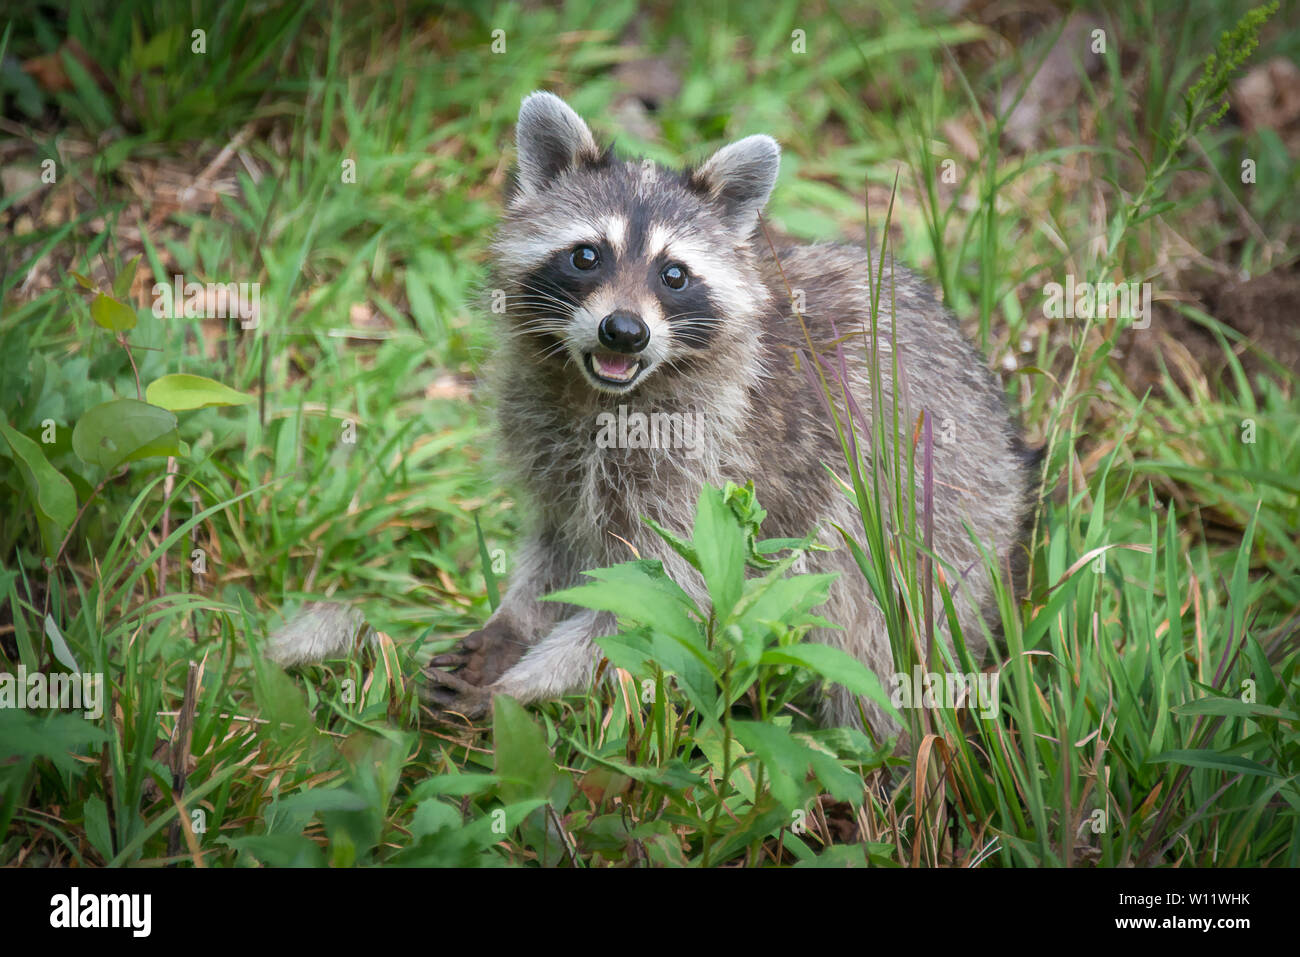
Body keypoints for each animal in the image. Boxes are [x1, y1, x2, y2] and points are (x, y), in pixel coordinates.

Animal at [272, 92, 1038, 736]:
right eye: (585, 255)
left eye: (674, 275)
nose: (623, 332)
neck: (607, 396)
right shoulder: (551, 444)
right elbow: (561, 548)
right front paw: (514, 625)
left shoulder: (706, 469)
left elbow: (662, 600)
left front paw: (529, 682)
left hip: (942, 519)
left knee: (866, 622)